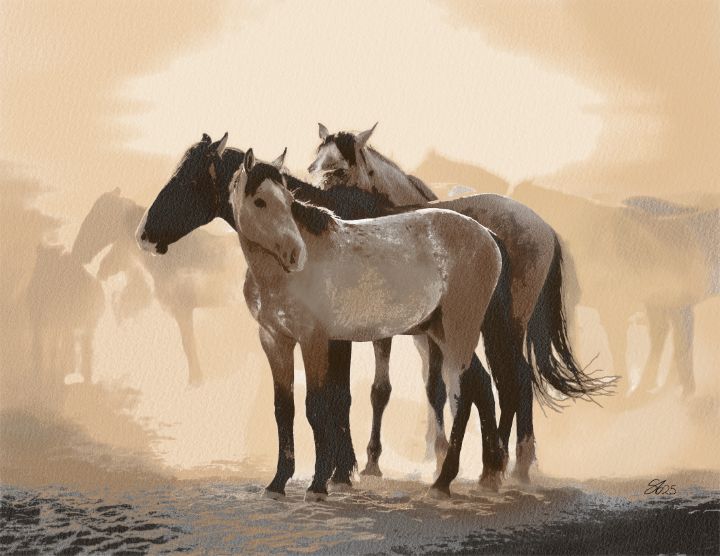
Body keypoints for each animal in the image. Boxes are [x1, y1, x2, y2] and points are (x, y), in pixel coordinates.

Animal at [136, 134, 513, 499]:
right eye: (259, 201)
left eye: (190, 180)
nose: (144, 235)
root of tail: (489, 236)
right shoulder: (275, 340)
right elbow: (284, 408)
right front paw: (278, 483)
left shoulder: (316, 339)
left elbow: (319, 405)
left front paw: (321, 483)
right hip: (441, 332)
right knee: (479, 385)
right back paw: (486, 475)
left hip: (458, 331)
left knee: (463, 393)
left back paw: (444, 481)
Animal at [308, 123, 612, 482]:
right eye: (312, 166)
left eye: (342, 169)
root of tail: (545, 229)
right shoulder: (418, 335)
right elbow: (412, 390)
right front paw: (397, 459)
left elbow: (421, 388)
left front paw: (398, 459)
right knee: (509, 380)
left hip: (509, 326)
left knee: (516, 379)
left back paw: (512, 462)